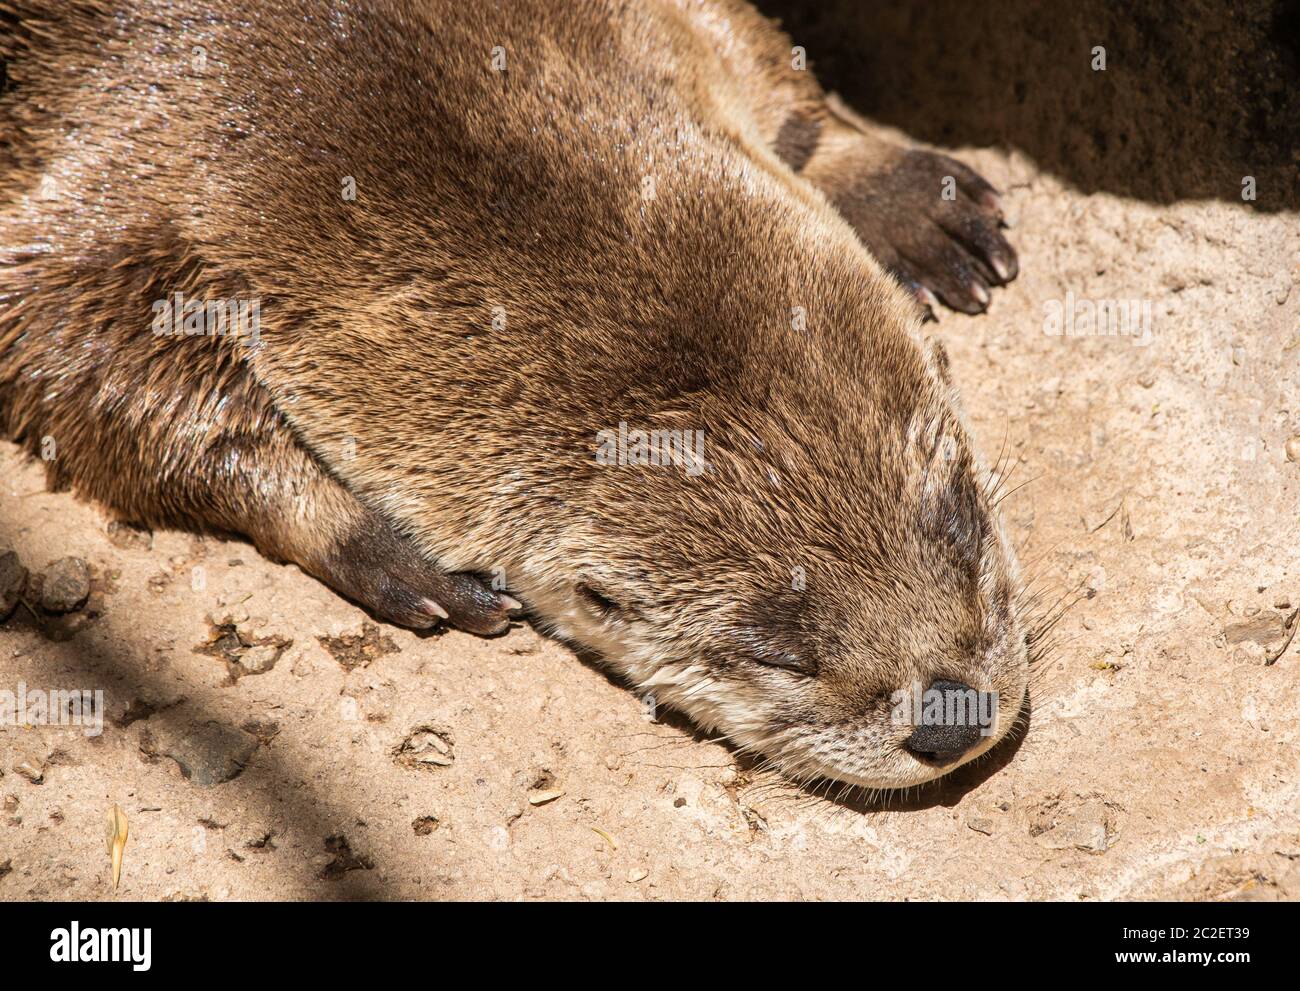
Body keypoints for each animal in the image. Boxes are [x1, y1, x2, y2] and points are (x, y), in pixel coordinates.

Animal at [0, 0, 1028, 790]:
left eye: (963, 520)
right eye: (775, 652)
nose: (951, 715)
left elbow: (755, 50)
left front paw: (900, 194)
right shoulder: (125, 170)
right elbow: (70, 358)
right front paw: (389, 549)